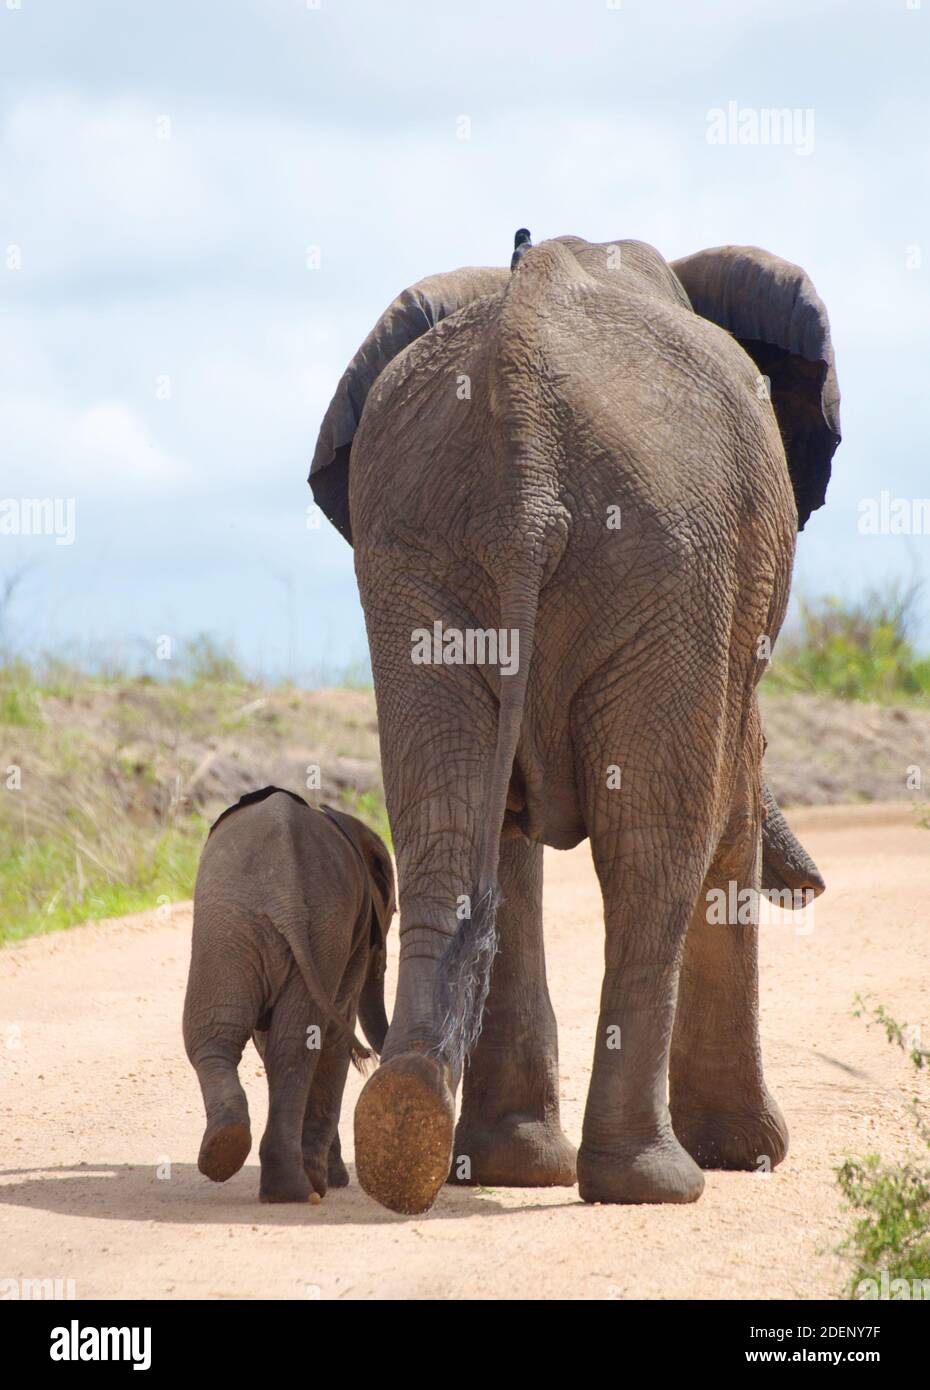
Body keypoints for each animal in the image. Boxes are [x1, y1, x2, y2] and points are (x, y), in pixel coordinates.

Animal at [183, 786, 395, 1203]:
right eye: (393, 912)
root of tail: (286, 896)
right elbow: (332, 1035)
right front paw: (334, 1179)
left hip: (235, 930)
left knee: (225, 1037)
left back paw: (258, 1169)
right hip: (260, 929)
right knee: (297, 1041)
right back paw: (297, 1182)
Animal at [309, 234, 839, 1214]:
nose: (814, 889)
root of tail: (523, 455)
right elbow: (728, 802)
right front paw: (752, 1154)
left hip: (424, 554)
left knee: (444, 824)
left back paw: (418, 1138)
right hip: (670, 558)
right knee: (654, 845)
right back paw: (656, 1182)